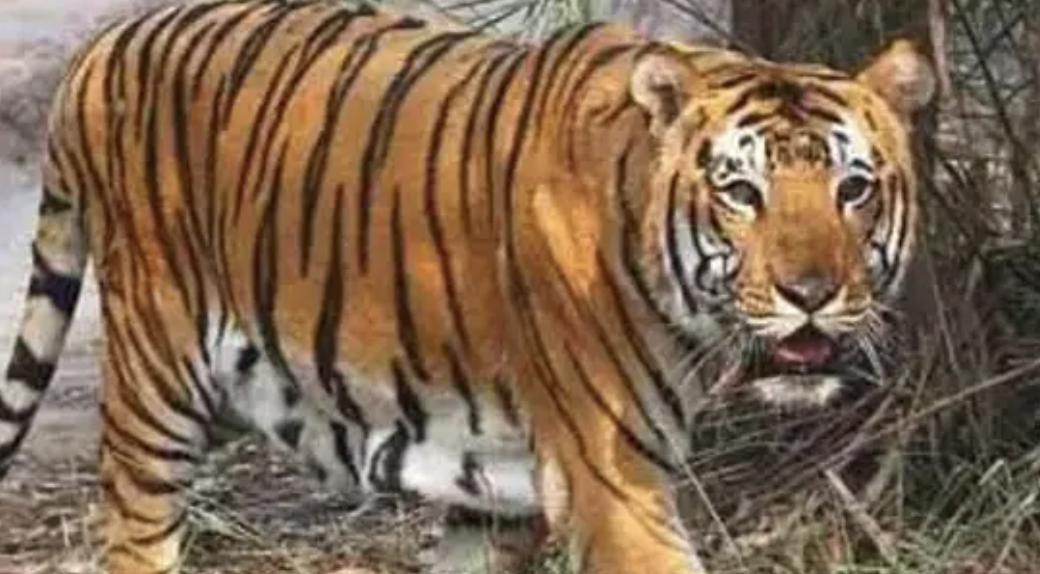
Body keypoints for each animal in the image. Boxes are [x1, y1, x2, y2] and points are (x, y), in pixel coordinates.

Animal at [0, 1, 934, 572]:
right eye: (741, 192)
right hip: (156, 389)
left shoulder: (495, 495)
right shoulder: (614, 480)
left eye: (854, 187)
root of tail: (108, 44)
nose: (810, 292)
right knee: (133, 530)